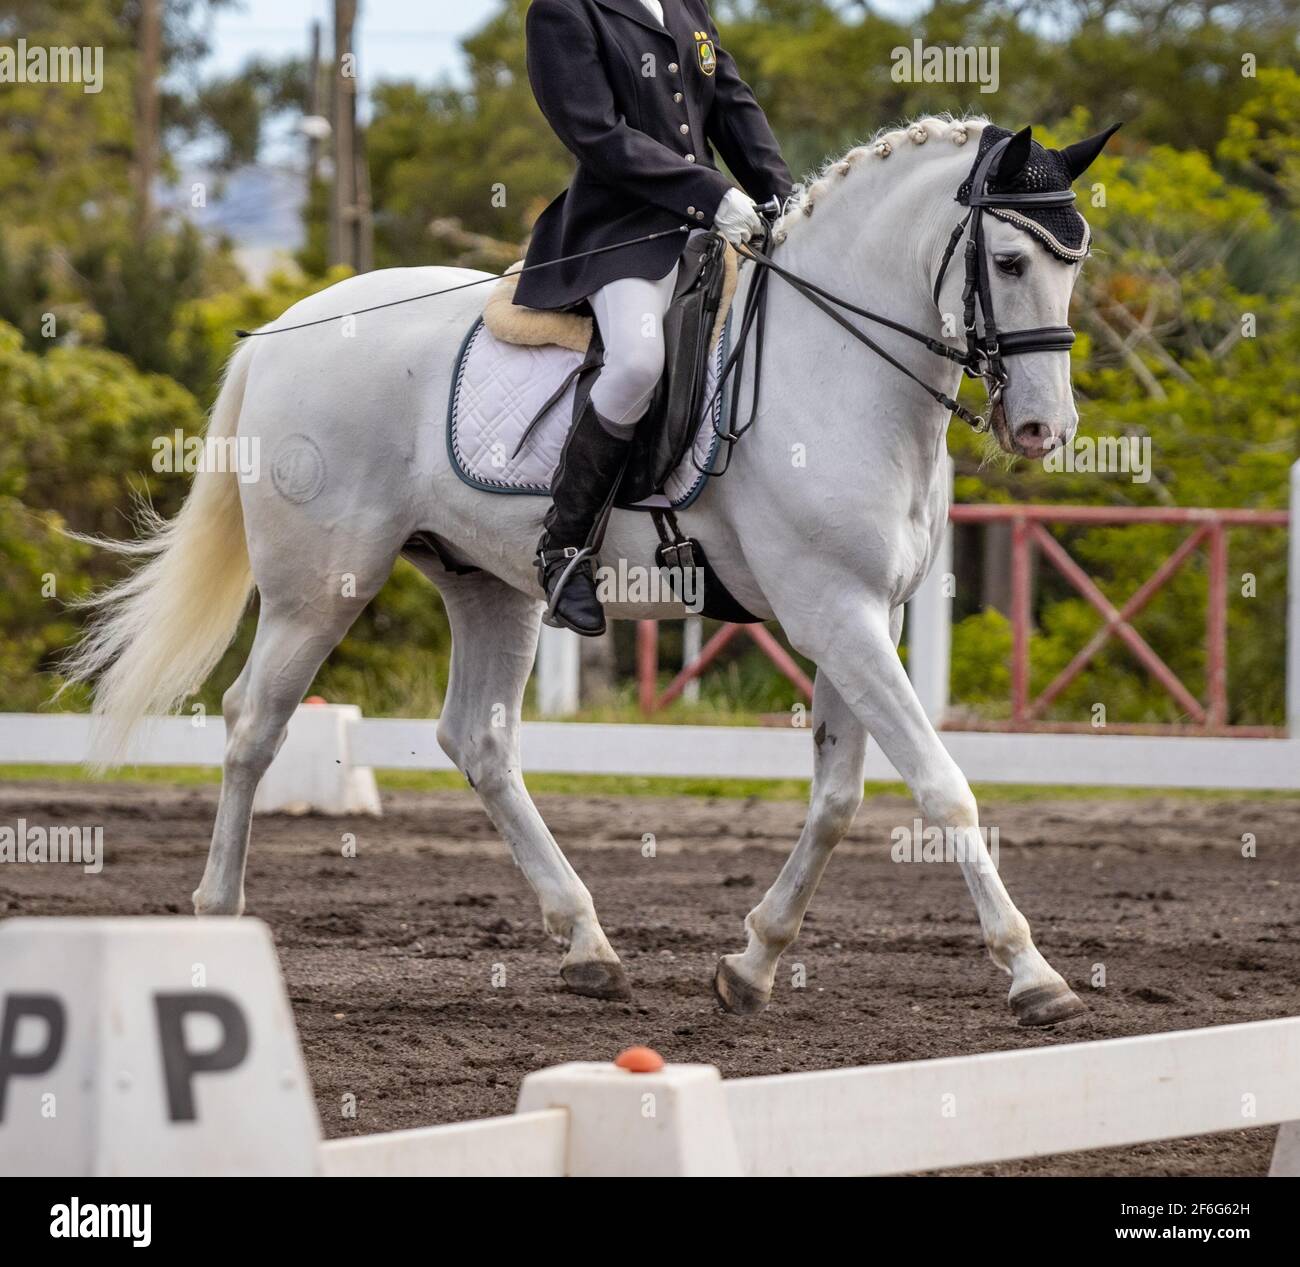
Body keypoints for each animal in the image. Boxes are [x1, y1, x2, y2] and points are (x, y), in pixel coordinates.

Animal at [65, 116, 1116, 1026]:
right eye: (1011, 262)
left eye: (1076, 259)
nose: (1044, 428)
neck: (836, 366)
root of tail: (285, 329)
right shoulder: (834, 611)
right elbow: (942, 786)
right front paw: (1034, 973)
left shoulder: (870, 615)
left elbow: (837, 798)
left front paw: (751, 962)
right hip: (319, 587)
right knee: (254, 722)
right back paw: (221, 920)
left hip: (490, 585)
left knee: (479, 742)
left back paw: (587, 945)